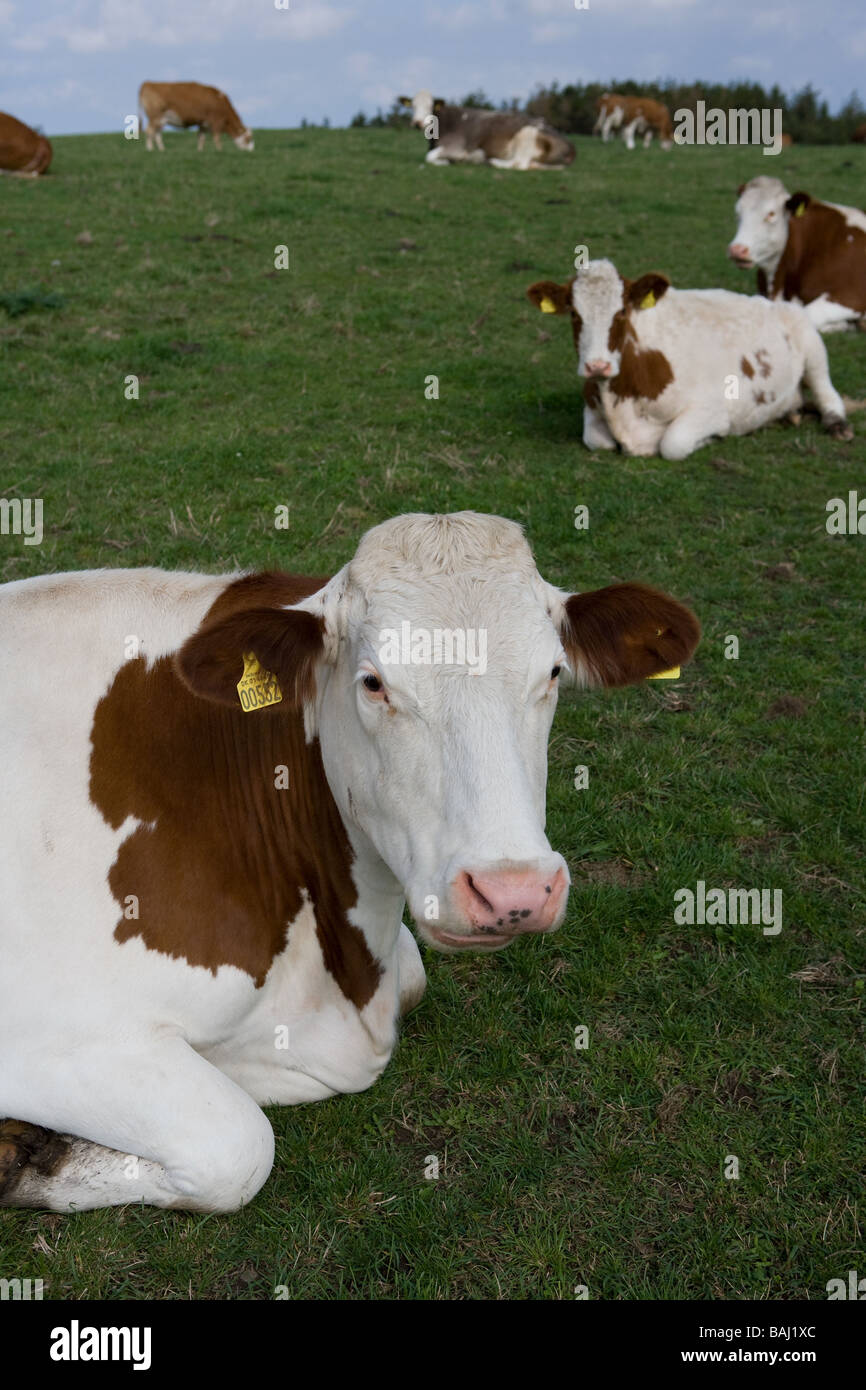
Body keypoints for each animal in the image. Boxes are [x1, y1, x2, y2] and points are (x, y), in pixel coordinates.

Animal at [0, 512, 700, 1212]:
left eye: (553, 672)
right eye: (373, 682)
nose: (513, 891)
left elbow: (412, 977)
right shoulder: (61, 1034)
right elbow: (238, 1149)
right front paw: (30, 1158)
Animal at [398, 91, 574, 169]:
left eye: (430, 106)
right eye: (413, 106)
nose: (417, 122)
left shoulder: (457, 149)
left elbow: (429, 156)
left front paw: (445, 162)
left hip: (527, 134)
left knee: (520, 163)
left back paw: (492, 161)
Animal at [527, 258, 851, 459]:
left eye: (621, 312)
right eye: (574, 313)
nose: (597, 365)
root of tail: (774, 303)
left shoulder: (712, 409)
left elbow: (673, 442)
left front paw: (711, 438)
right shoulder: (592, 406)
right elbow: (597, 441)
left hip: (812, 343)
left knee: (827, 392)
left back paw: (837, 425)